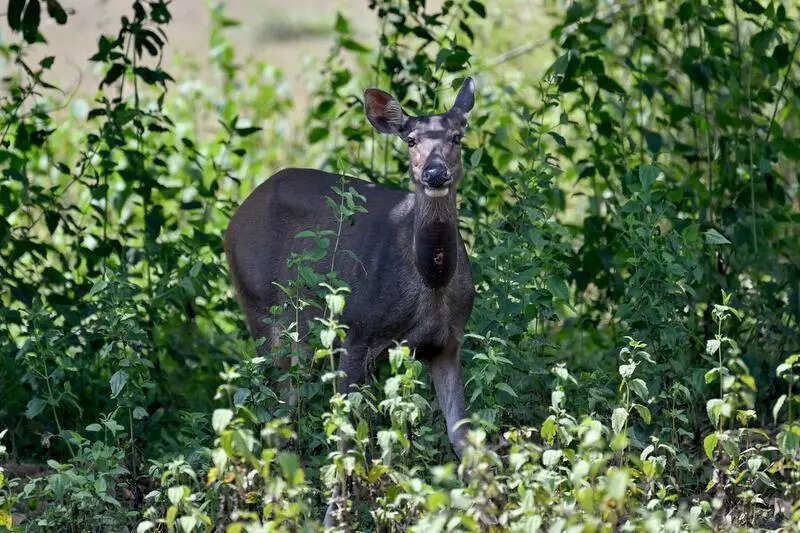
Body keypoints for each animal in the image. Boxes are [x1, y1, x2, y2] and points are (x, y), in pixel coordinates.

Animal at [224, 78, 476, 507]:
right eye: (411, 139)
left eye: (457, 137)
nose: (435, 173)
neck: (430, 284)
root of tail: (234, 218)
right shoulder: (357, 333)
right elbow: (344, 440)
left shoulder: (446, 342)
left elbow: (460, 437)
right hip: (260, 307)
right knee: (278, 413)